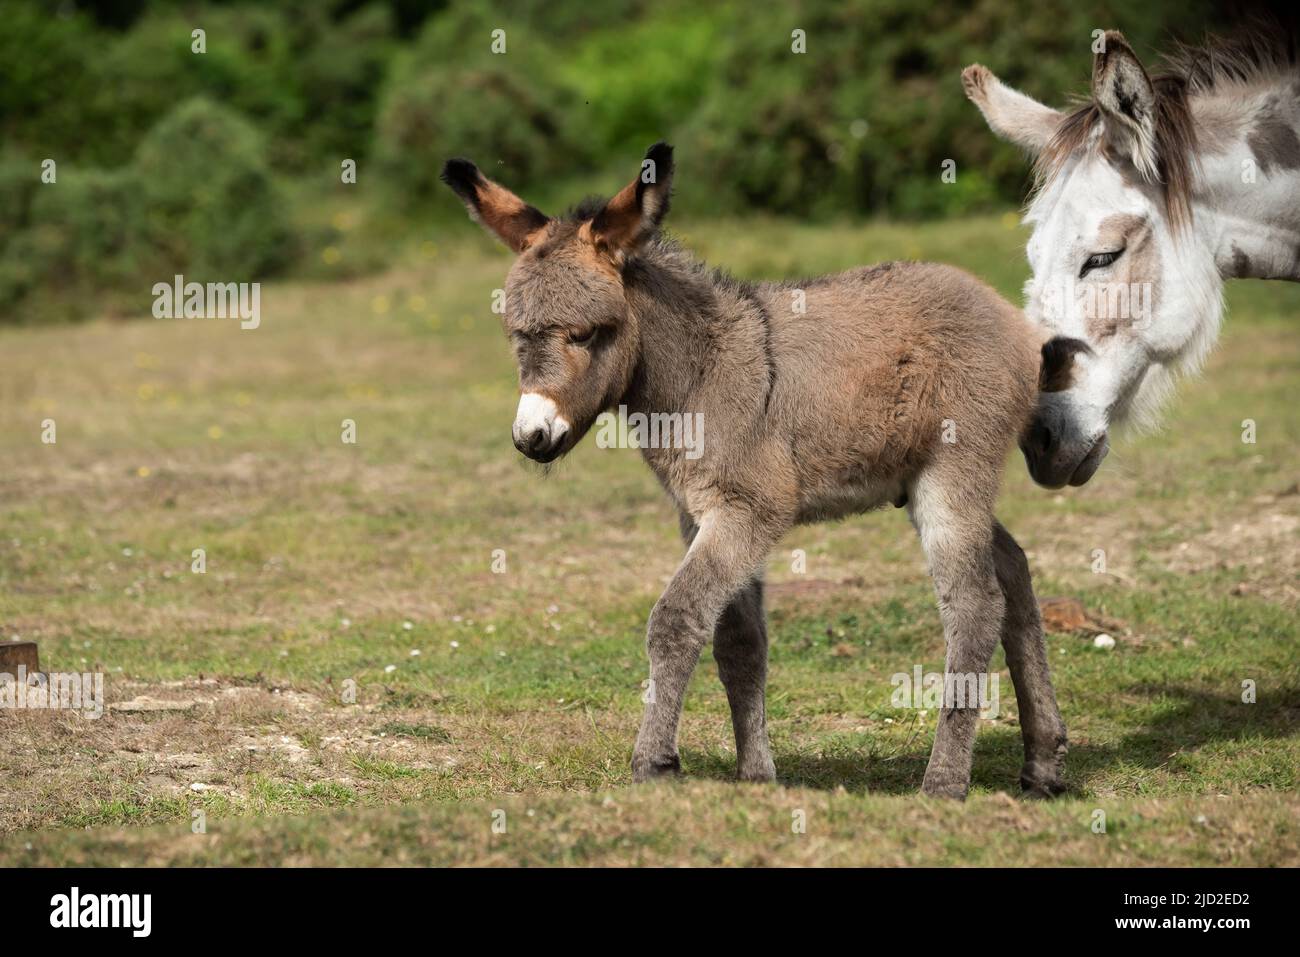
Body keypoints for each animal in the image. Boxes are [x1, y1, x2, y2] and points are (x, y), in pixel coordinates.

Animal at [441, 143, 1071, 800]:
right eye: (515, 336)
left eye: (587, 334)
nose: (532, 438)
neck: (701, 369)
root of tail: (1009, 317)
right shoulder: (700, 516)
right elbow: (738, 640)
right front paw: (756, 774)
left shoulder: (748, 510)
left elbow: (675, 620)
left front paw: (654, 764)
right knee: (1013, 572)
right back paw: (1043, 762)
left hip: (952, 474)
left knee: (974, 605)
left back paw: (944, 782)